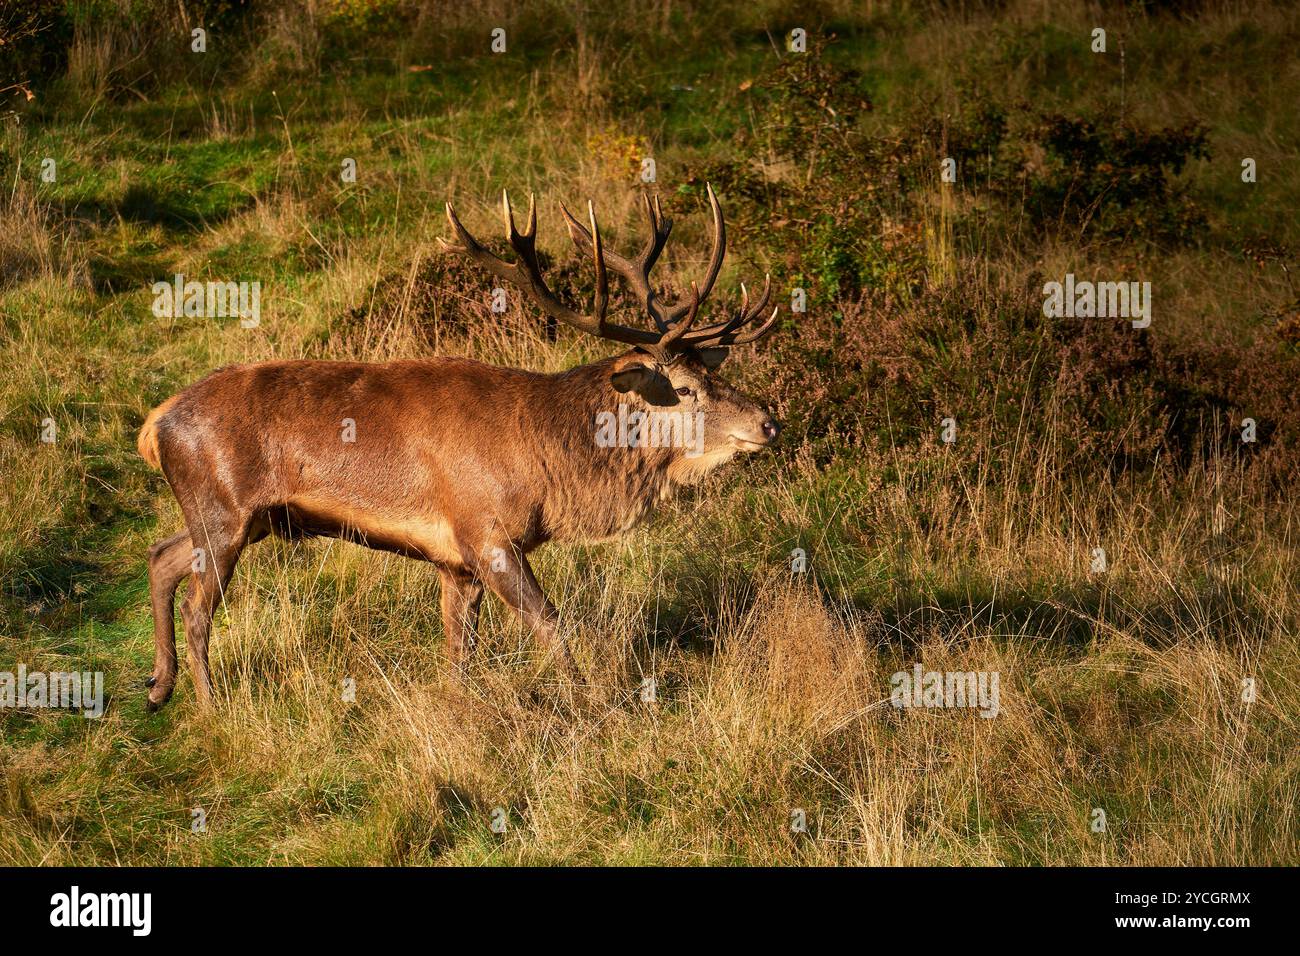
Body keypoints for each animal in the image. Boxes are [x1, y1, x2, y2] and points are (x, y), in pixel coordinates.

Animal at [136, 185, 783, 711]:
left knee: (161, 554)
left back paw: (159, 686)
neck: (548, 469)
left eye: (716, 372)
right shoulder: (486, 532)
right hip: (224, 510)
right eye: (685, 387)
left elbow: (459, 654)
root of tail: (154, 425)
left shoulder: (454, 560)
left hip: (245, 519)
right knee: (197, 609)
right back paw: (212, 707)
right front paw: (595, 700)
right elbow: (552, 626)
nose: (769, 421)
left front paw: (462, 706)